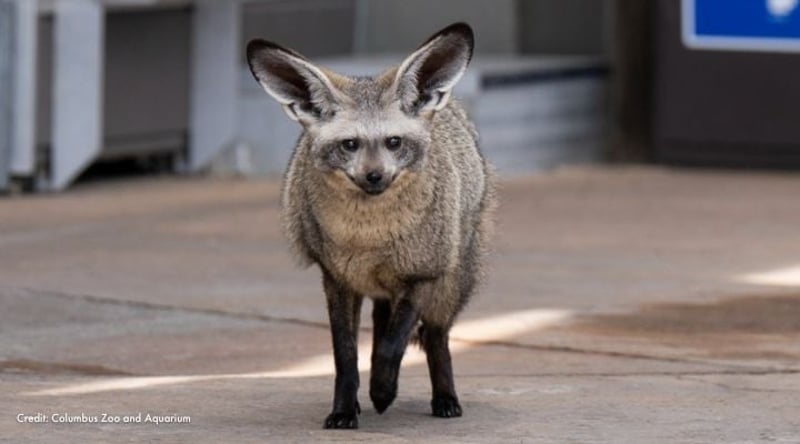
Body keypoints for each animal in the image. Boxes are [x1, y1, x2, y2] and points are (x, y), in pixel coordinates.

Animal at [246, 22, 495, 429]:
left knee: (436, 337)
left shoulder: (420, 276)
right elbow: (347, 355)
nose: (374, 177)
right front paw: (345, 409)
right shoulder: (337, 280)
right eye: (350, 145)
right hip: (379, 289)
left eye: (394, 142)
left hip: (452, 282)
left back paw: (444, 398)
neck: (370, 240)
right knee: (381, 326)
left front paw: (382, 391)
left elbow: (392, 348)